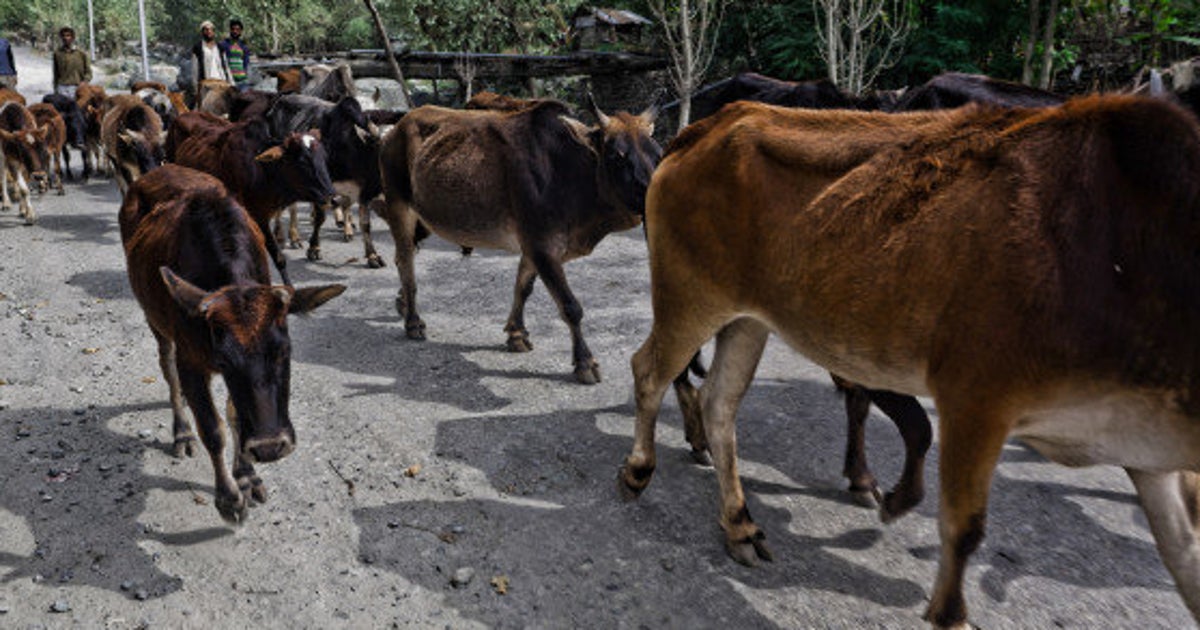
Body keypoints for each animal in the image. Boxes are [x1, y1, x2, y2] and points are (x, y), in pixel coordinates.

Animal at [119, 164, 344, 522]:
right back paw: (181, 430)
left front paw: (248, 477)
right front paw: (228, 498)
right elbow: (213, 429)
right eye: (223, 361)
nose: (270, 446)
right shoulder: (193, 362)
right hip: (155, 321)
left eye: (285, 351)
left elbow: (236, 415)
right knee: (168, 369)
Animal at [169, 110, 338, 285]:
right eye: (303, 161)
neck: (263, 170)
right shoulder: (258, 216)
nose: (333, 199)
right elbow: (278, 256)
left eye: (324, 158)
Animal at [376, 98, 660, 384]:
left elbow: (523, 288)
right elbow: (570, 307)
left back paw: (402, 303)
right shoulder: (542, 247)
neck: (569, 173)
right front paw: (585, 362)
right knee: (405, 261)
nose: (654, 196)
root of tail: (397, 127)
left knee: (404, 258)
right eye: (617, 156)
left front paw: (516, 334)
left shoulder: (533, 246)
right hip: (399, 205)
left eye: (658, 154)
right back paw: (413, 321)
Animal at [617, 96, 1200, 627]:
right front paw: (948, 611)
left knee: (719, 404)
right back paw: (639, 471)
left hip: (747, 321)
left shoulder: (1153, 452)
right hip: (690, 298)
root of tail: (709, 124)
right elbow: (962, 526)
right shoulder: (977, 399)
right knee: (649, 370)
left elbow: (1186, 556)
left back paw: (739, 524)